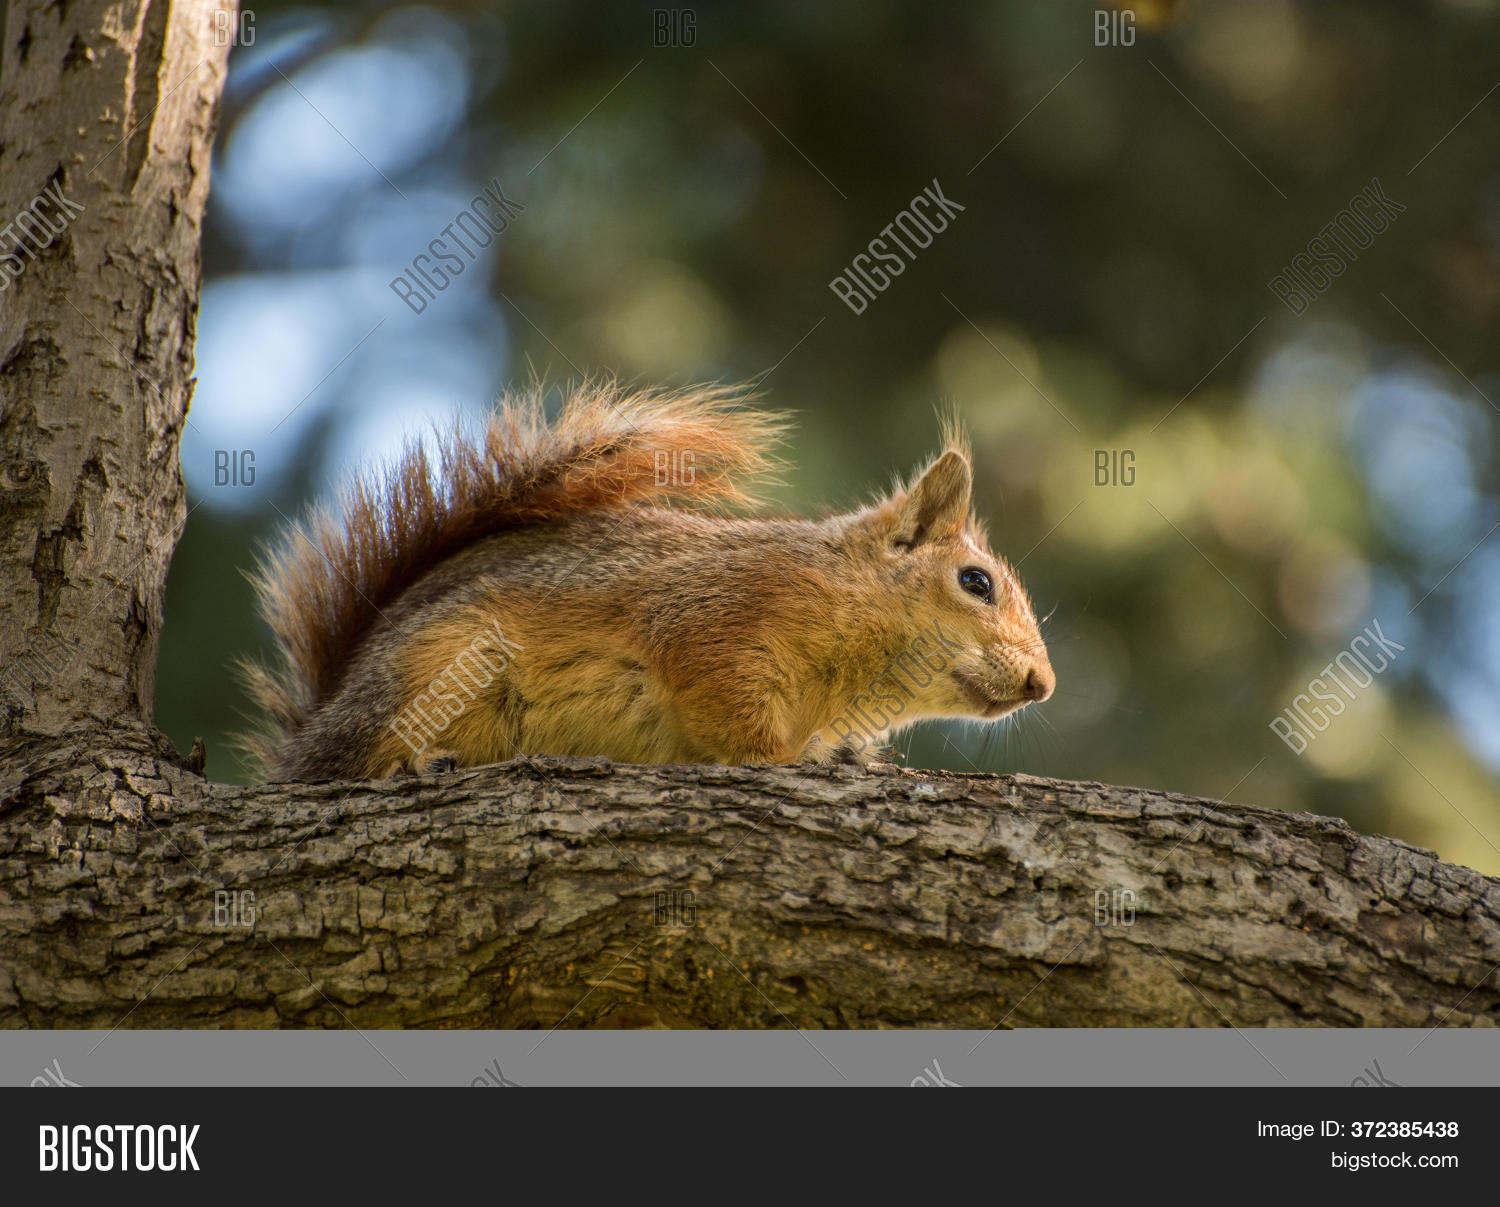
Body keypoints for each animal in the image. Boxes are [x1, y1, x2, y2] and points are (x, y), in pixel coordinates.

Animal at [240, 381, 1054, 781]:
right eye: (976, 582)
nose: (1043, 685)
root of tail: (319, 721)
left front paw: (848, 757)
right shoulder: (714, 623)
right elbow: (731, 716)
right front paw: (790, 759)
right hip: (430, 672)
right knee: (339, 770)